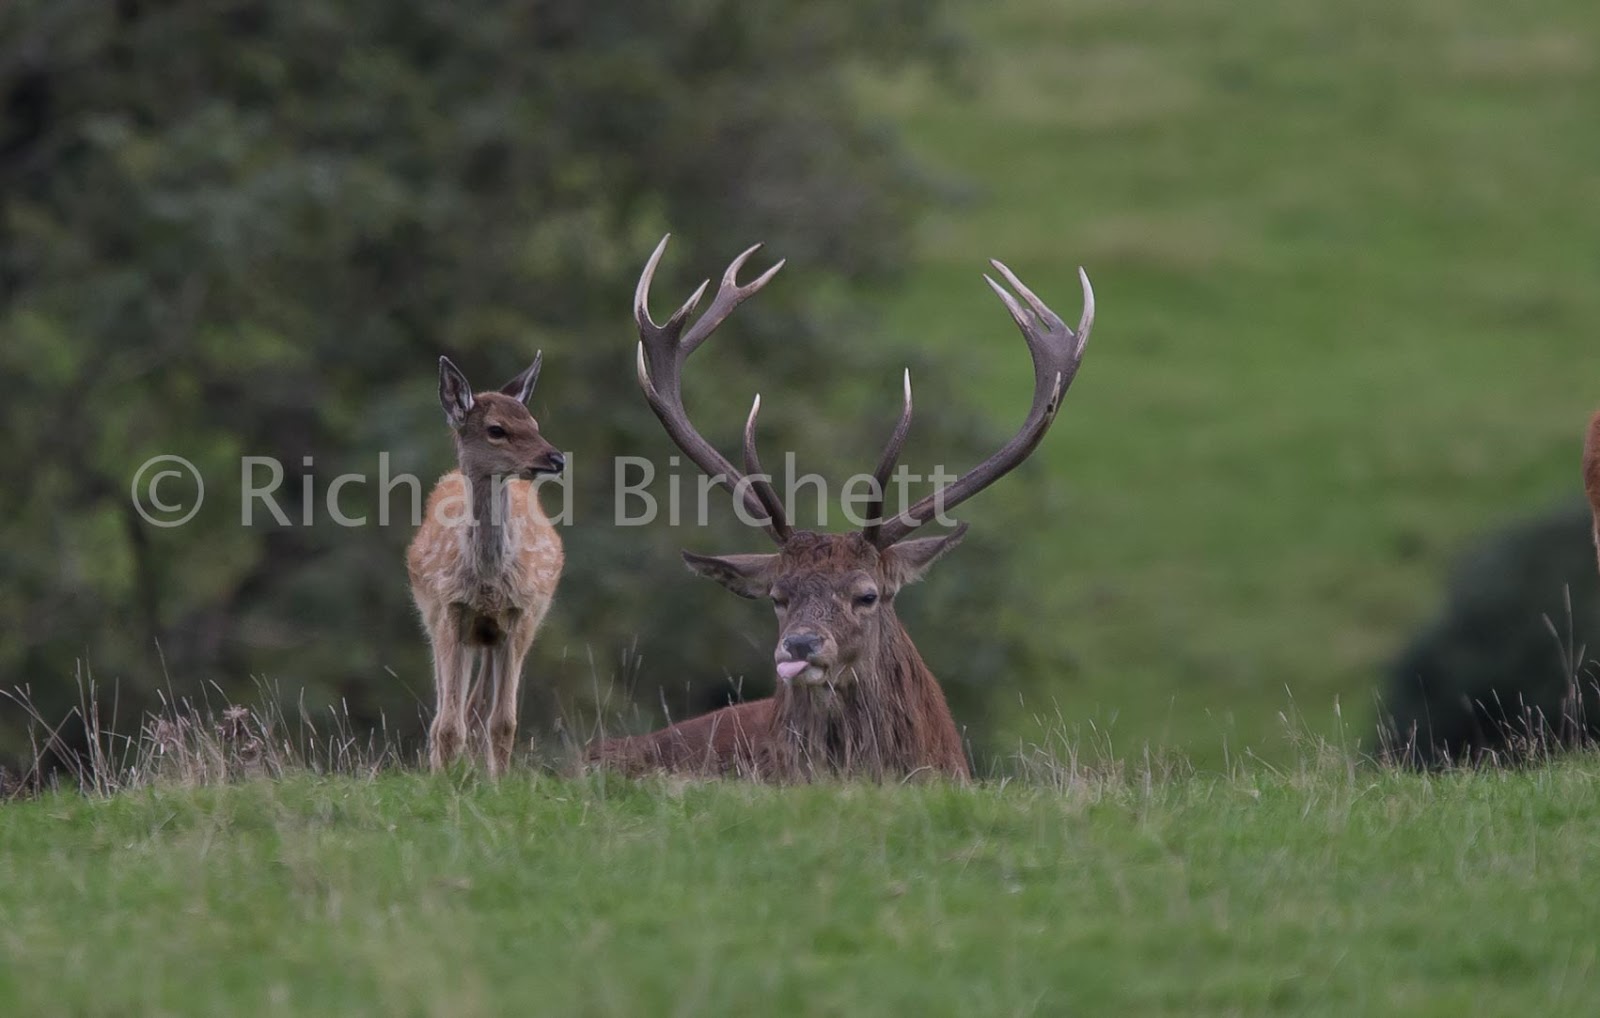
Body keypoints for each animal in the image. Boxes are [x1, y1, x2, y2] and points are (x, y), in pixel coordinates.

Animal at [407, 354, 566, 776]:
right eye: (497, 429)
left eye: (534, 423)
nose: (556, 458)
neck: (489, 584)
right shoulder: (449, 611)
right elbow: (447, 725)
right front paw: (443, 782)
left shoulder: (521, 614)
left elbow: (504, 721)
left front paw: (500, 782)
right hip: (440, 624)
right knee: (451, 713)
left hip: (499, 634)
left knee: (478, 709)